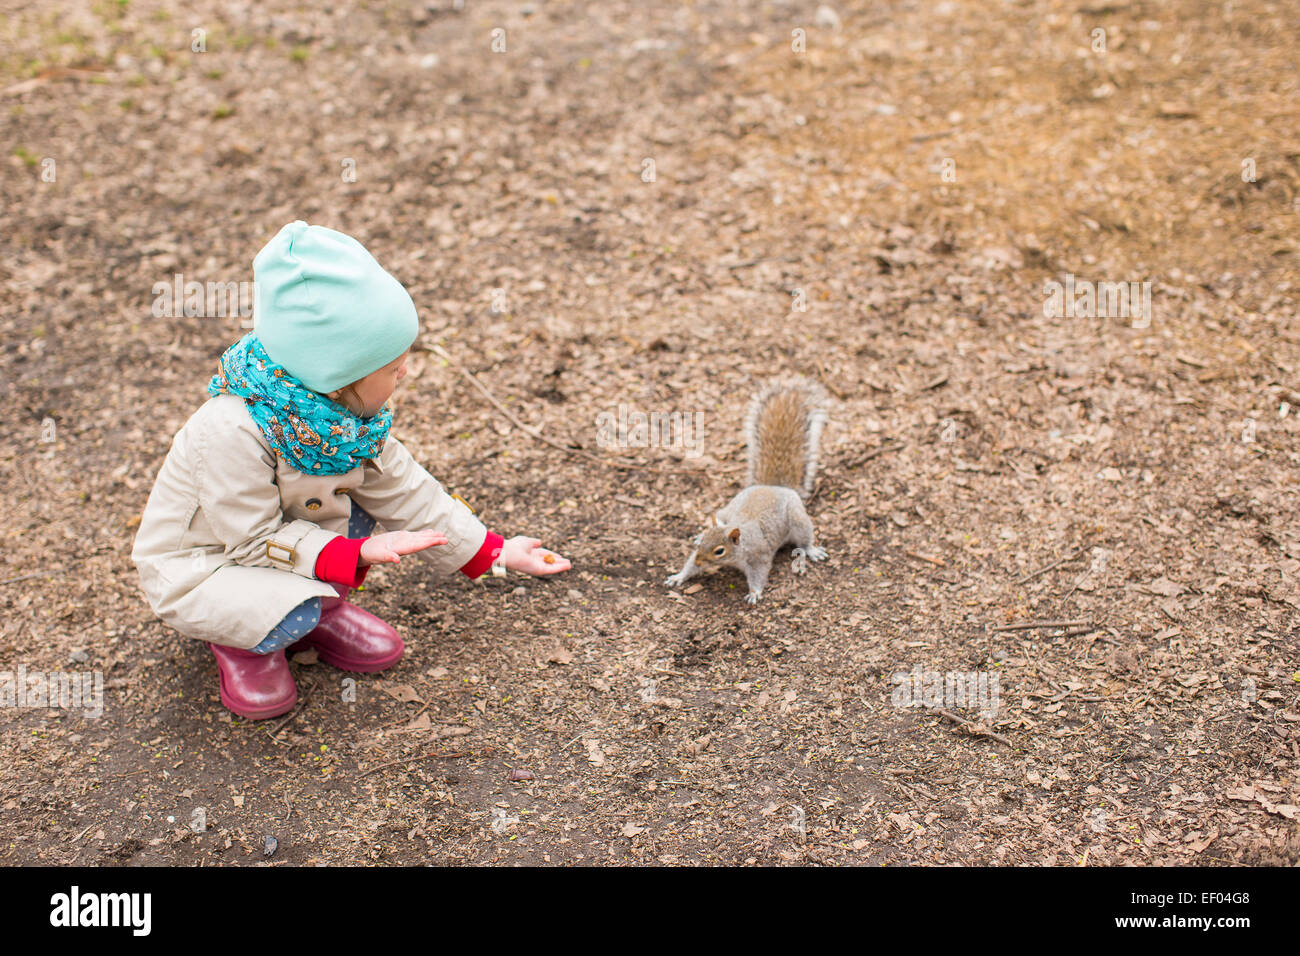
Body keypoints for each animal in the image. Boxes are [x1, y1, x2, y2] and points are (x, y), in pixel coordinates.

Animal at [665, 378, 829, 604]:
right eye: (704, 545)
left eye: (719, 551)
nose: (699, 560)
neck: (739, 550)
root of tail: (774, 486)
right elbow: (689, 566)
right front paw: (679, 575)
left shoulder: (759, 557)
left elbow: (759, 575)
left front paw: (754, 593)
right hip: (730, 506)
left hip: (798, 519)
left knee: (804, 539)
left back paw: (811, 550)